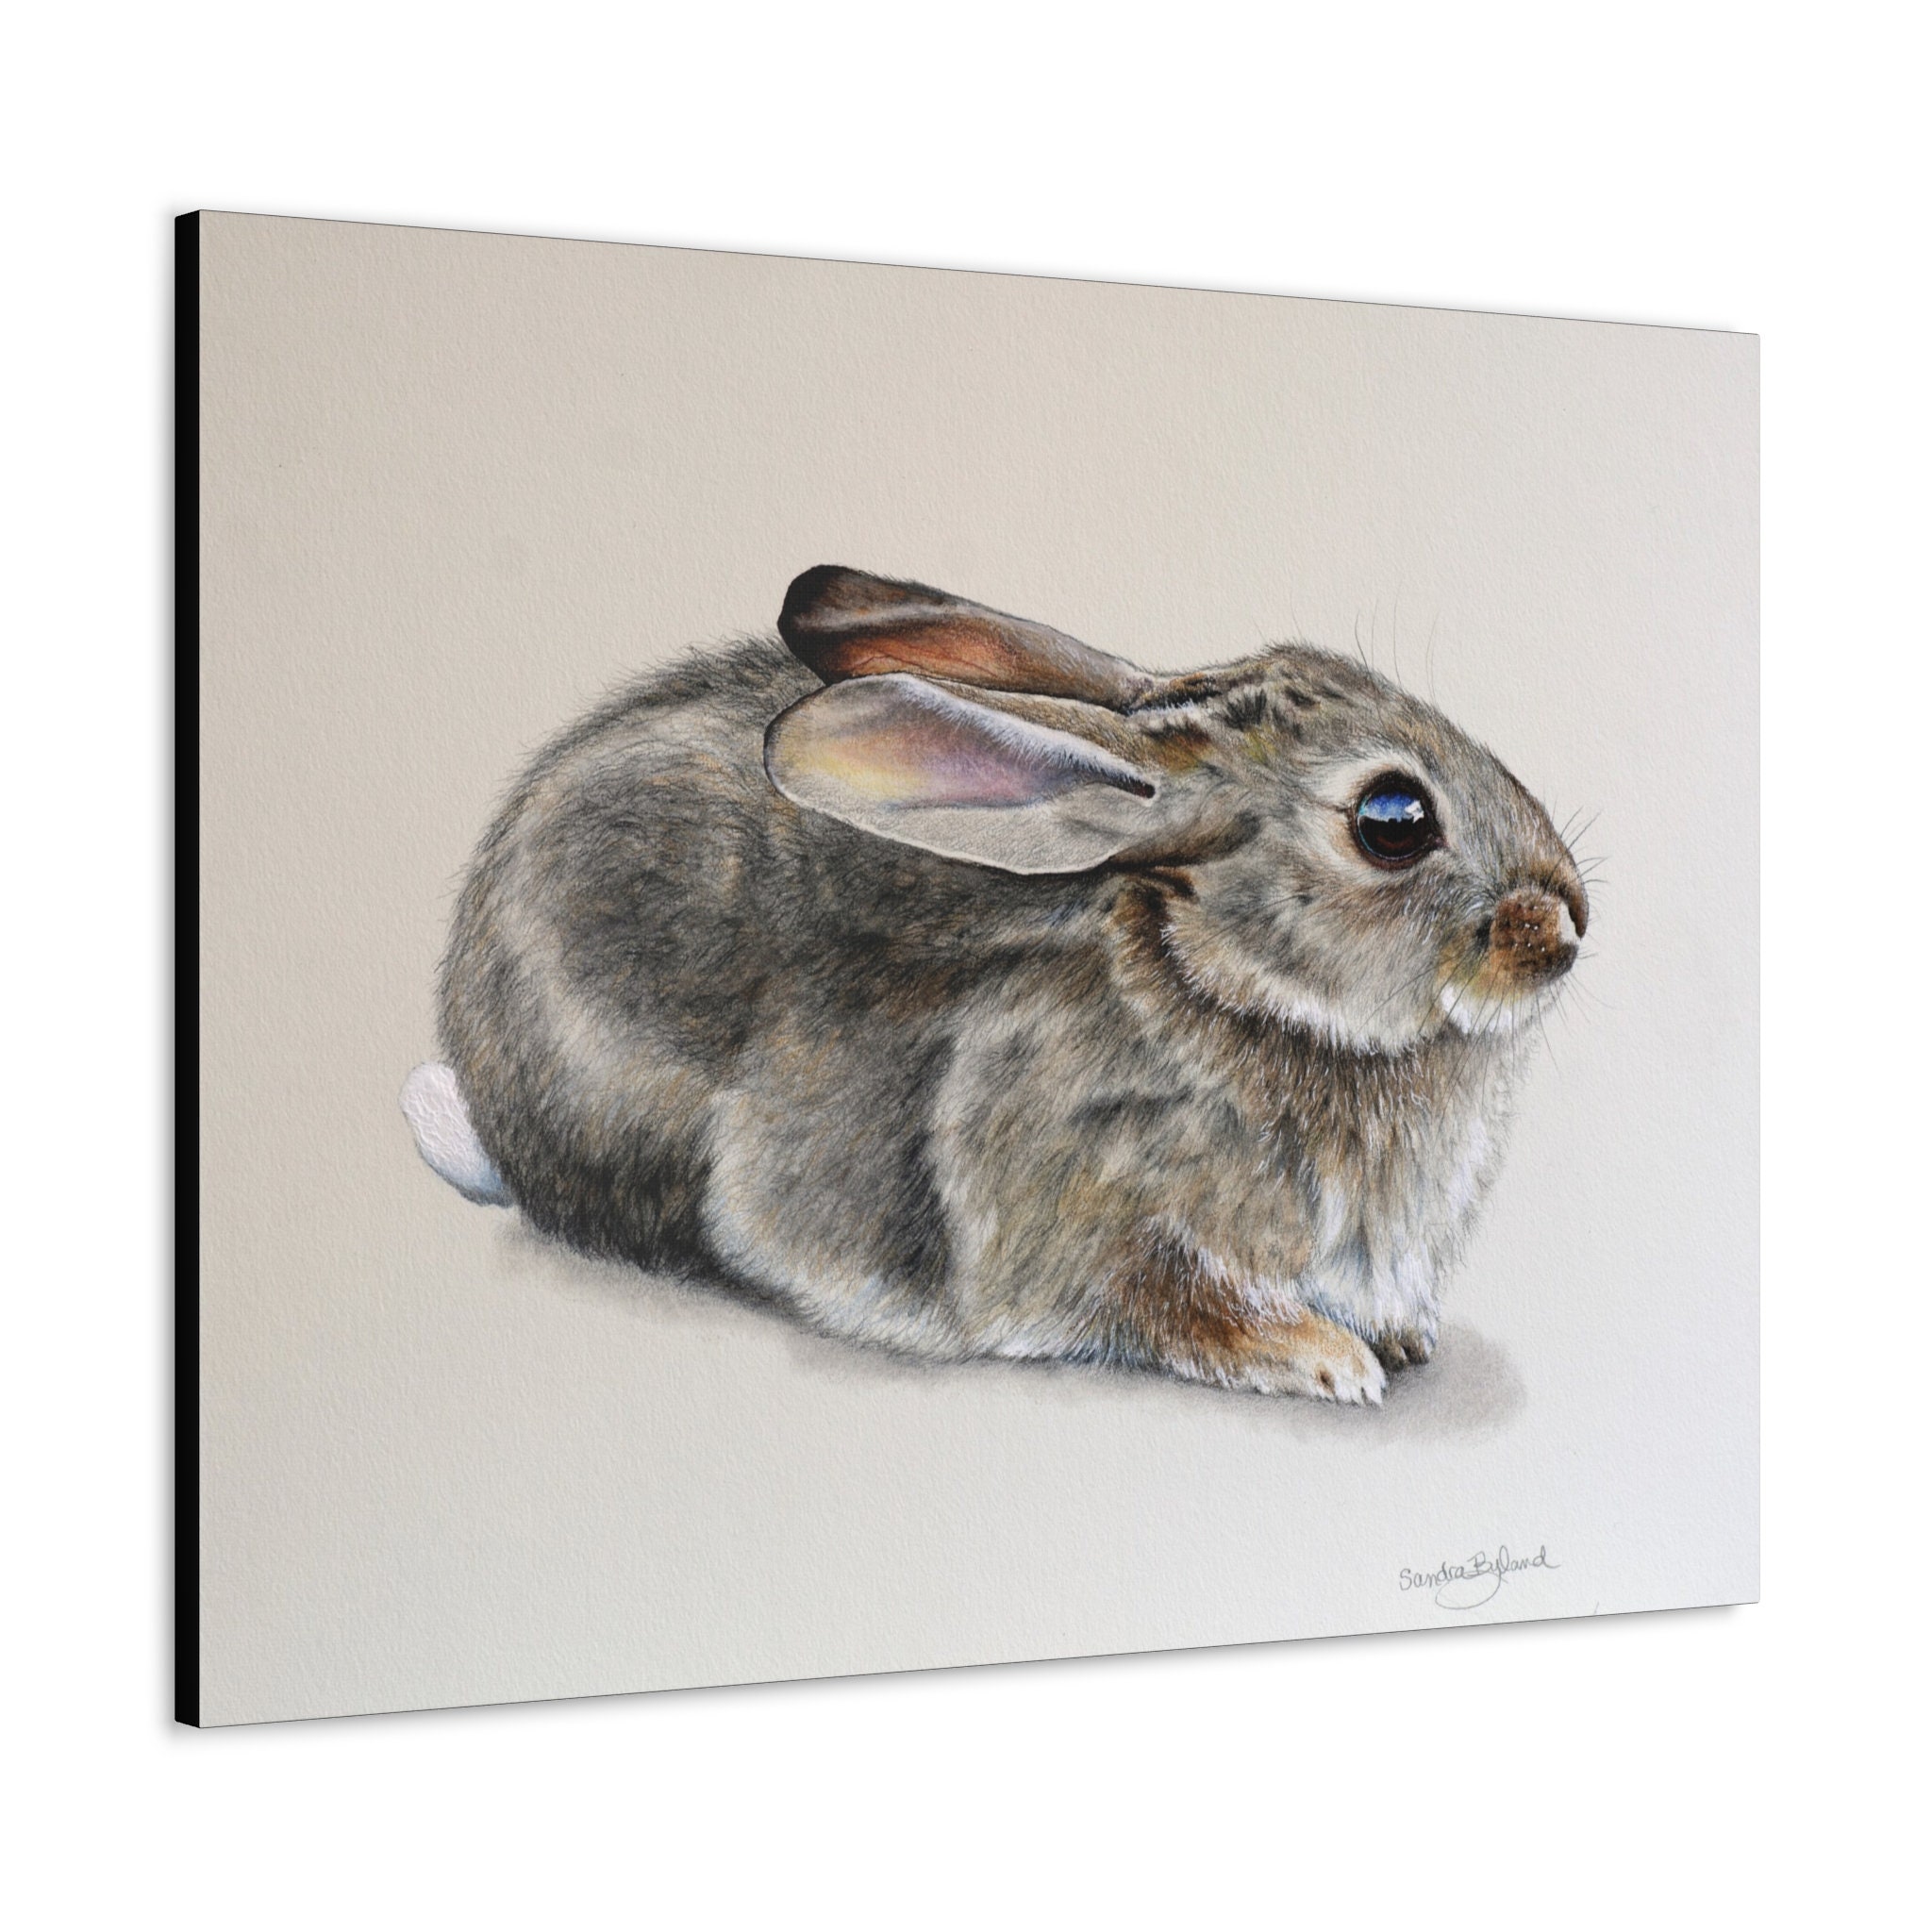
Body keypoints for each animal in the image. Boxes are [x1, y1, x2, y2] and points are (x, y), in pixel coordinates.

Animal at [404, 566, 1588, 1404]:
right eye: (1392, 819)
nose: (1568, 925)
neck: (1221, 982)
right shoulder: (1106, 1217)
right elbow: (1183, 1303)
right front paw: (1327, 1359)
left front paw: (1400, 1336)